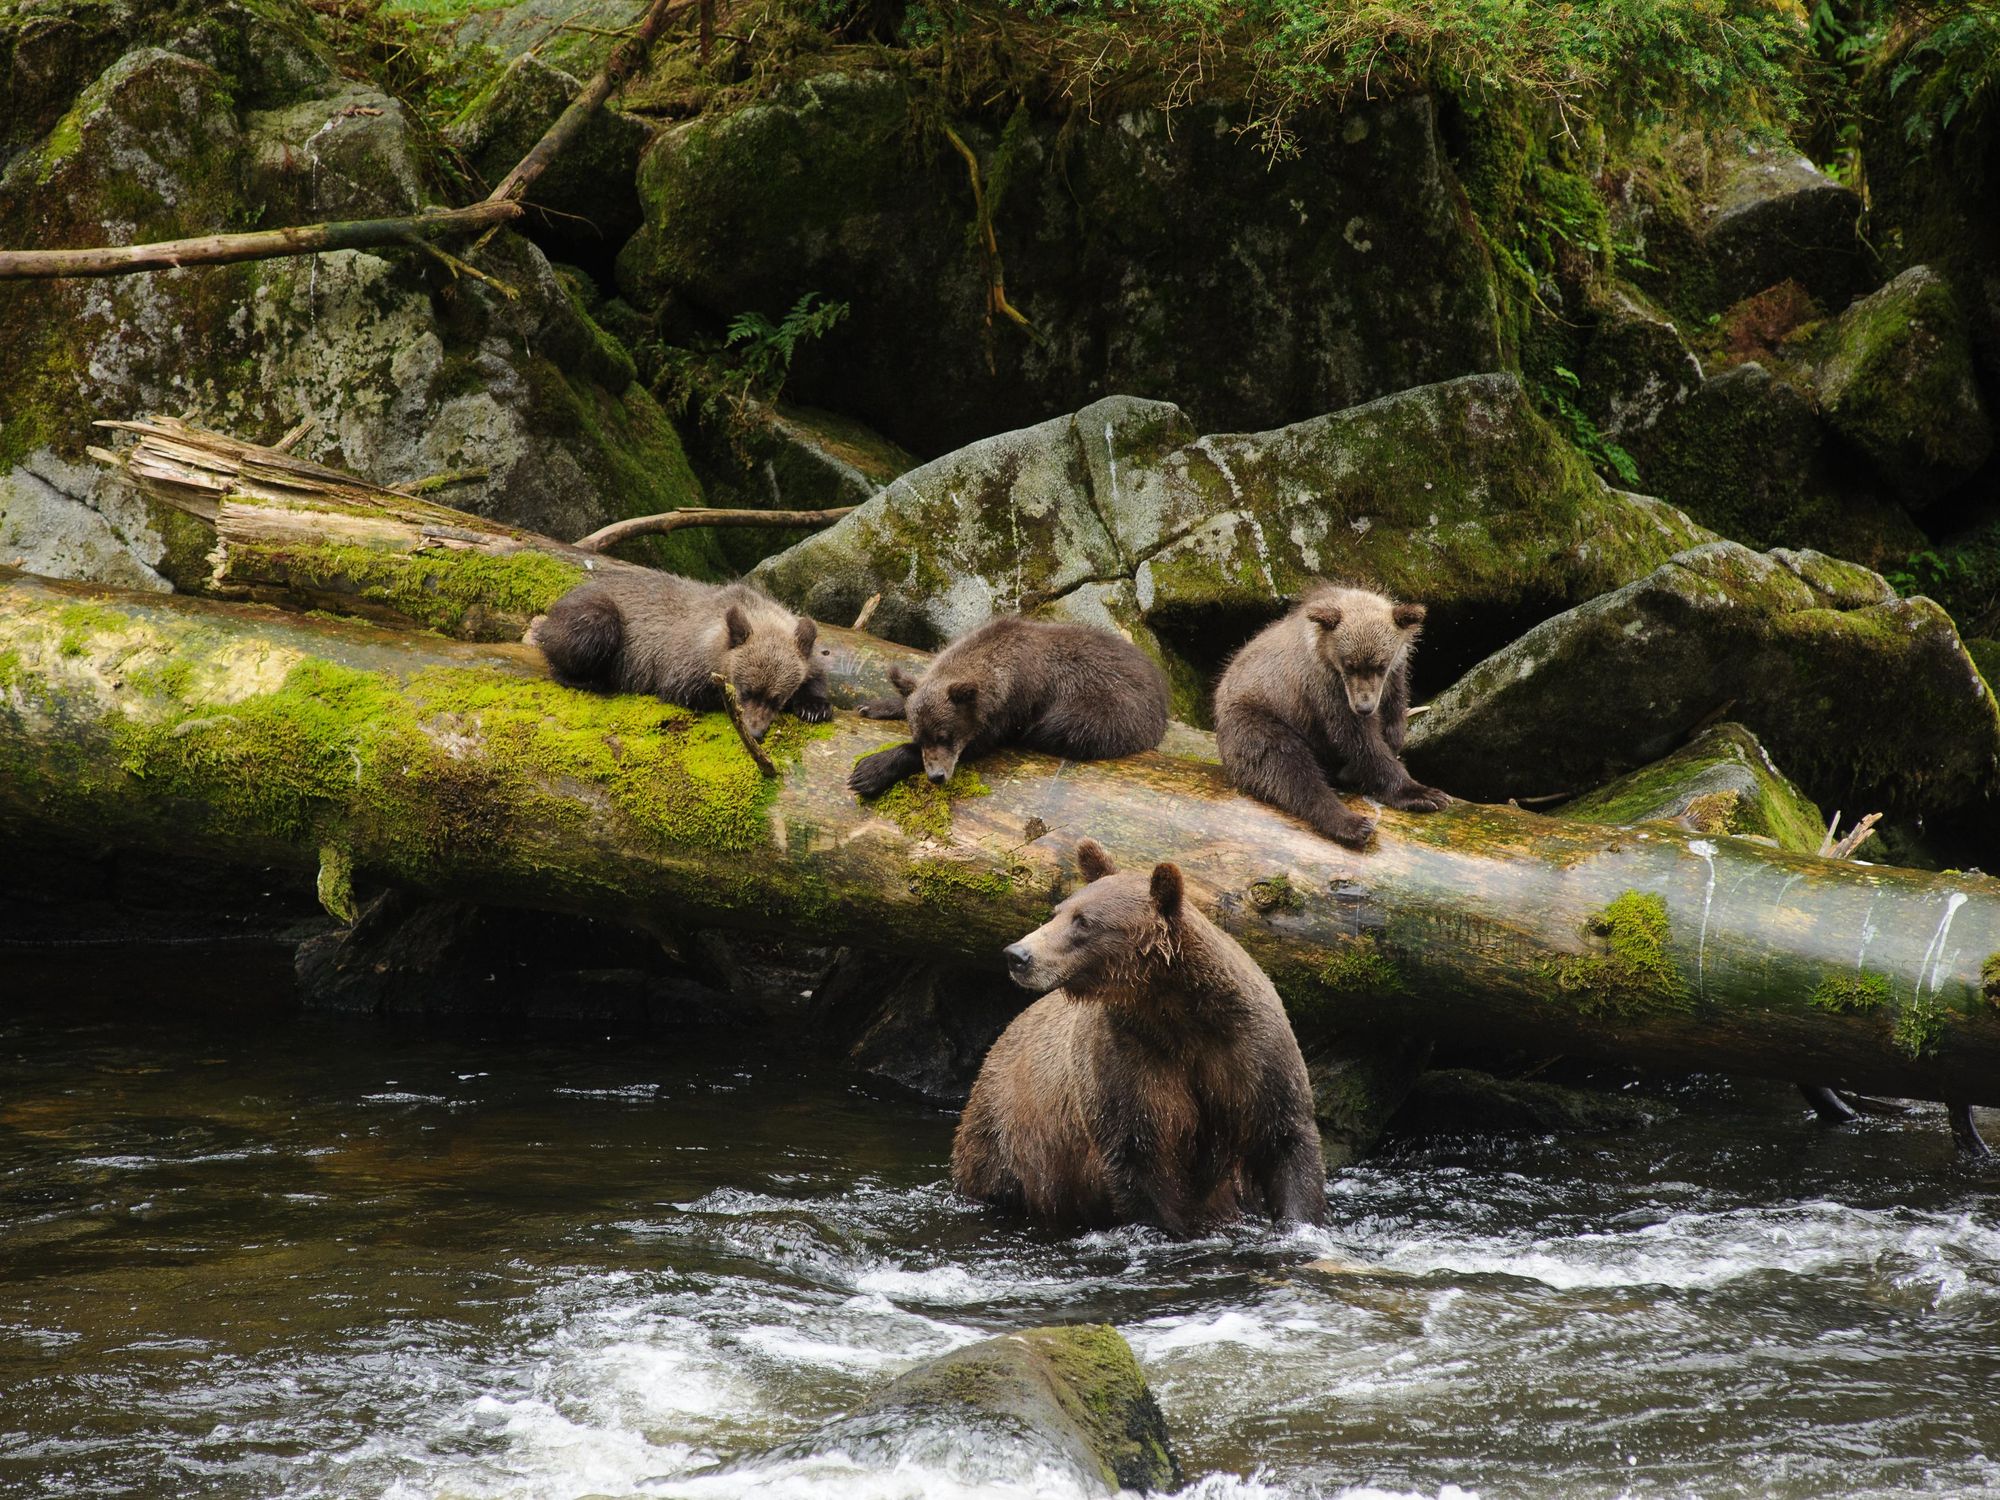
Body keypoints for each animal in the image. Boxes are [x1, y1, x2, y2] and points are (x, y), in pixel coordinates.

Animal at [530, 570, 828, 741]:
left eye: (777, 698)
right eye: (745, 691)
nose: (755, 732)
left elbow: (815, 675)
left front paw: (815, 707)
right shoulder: (682, 663)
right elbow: (687, 690)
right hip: (597, 616)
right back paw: (588, 679)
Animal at [847, 615, 1169, 798]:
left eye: (944, 736)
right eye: (920, 735)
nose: (937, 776)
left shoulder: (1013, 708)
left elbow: (981, 743)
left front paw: (869, 771)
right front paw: (875, 705)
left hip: (1110, 711)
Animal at [951, 839, 1327, 1237]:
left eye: (1083, 921)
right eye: (1057, 912)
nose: (1018, 955)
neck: (1176, 1011)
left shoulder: (1251, 1054)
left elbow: (1287, 1141)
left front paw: (1298, 1222)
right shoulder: (1128, 1060)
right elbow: (1139, 1157)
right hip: (1005, 1137)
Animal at [1213, 583, 1449, 848]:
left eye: (1380, 665)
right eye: (1349, 665)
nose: (1364, 707)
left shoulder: (1395, 677)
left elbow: (1393, 717)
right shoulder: (1326, 689)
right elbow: (1359, 740)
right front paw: (1423, 793)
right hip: (1257, 719)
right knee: (1289, 768)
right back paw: (1353, 825)